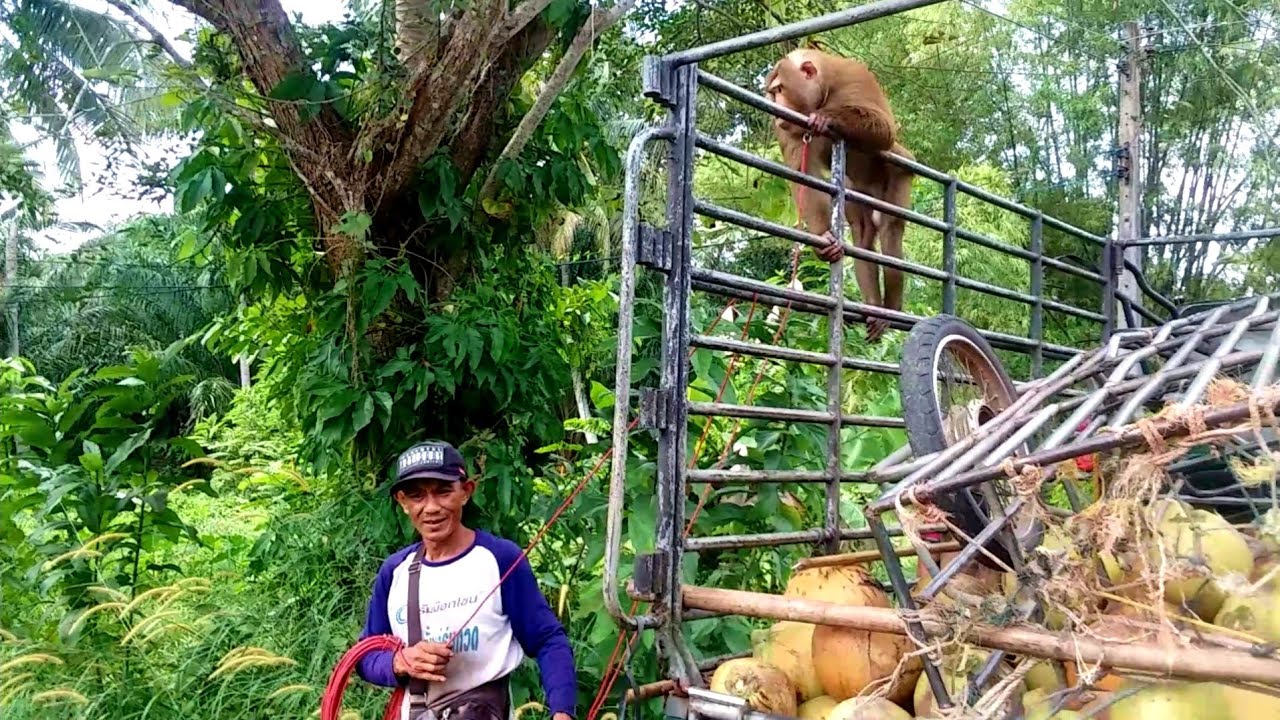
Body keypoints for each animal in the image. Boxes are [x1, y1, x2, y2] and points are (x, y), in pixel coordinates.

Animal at [765, 48, 914, 342]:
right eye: (772, 93)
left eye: (779, 89)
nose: (776, 111)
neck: (823, 90)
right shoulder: (789, 129)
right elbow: (804, 177)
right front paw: (823, 238)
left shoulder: (854, 77)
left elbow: (884, 128)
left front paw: (827, 117)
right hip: (854, 189)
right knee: (863, 234)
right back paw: (874, 305)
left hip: (899, 171)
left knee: (890, 228)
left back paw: (890, 308)